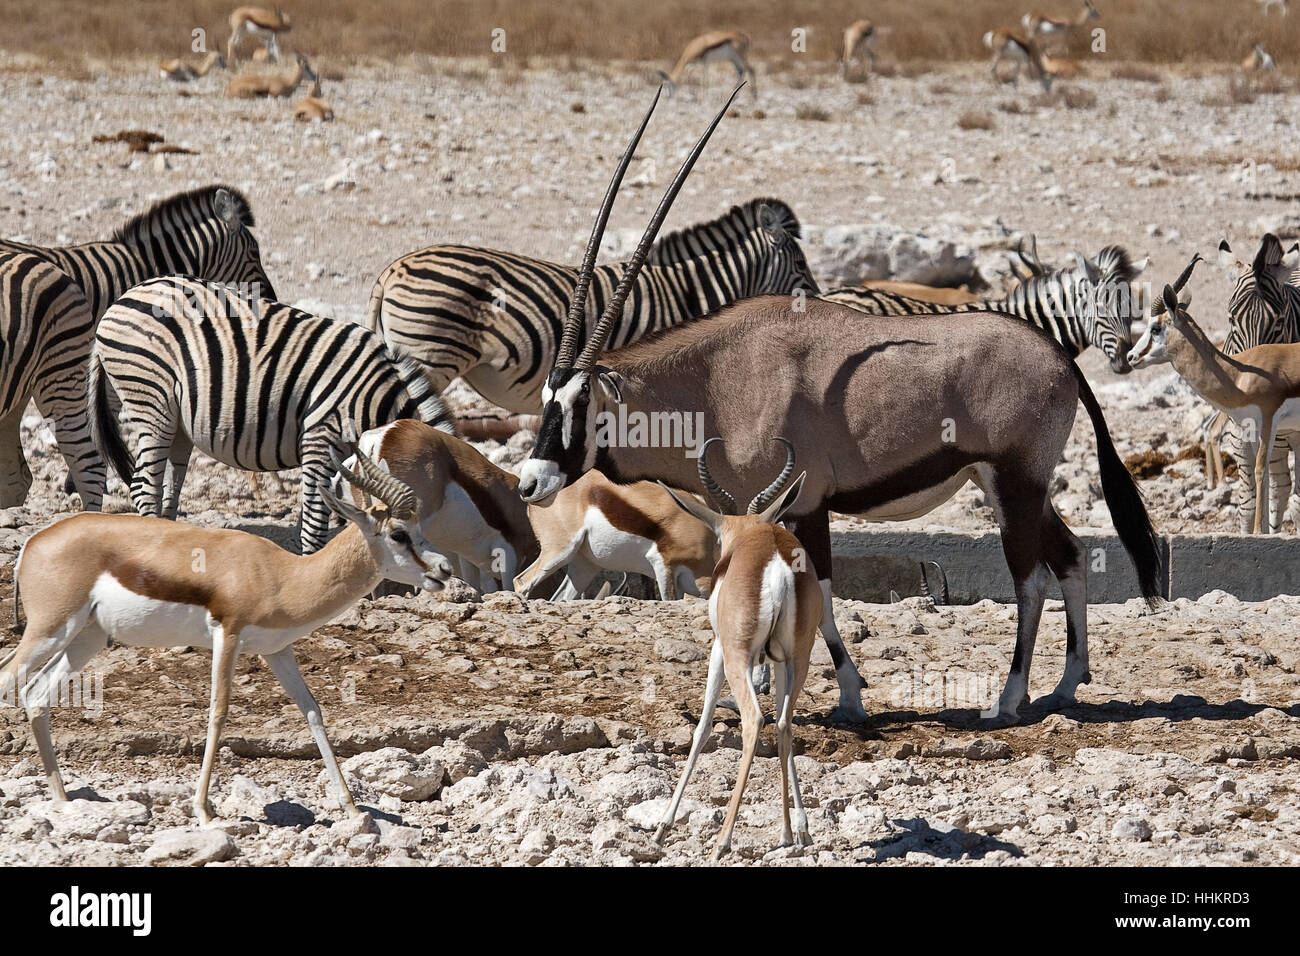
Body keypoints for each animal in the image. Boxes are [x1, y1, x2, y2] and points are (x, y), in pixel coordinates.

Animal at [0, 451, 453, 824]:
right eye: (398, 533)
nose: (444, 569)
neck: (282, 576)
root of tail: (34, 541)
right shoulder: (228, 635)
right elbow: (218, 712)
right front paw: (203, 810)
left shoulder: (278, 651)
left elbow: (313, 712)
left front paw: (354, 809)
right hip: (49, 630)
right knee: (10, 679)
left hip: (87, 638)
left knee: (37, 695)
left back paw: (63, 800)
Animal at [651, 442, 818, 858]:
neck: (751, 532)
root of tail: (777, 562)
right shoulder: (778, 661)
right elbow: (783, 723)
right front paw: (799, 831)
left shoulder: (718, 650)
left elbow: (702, 727)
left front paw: (662, 828)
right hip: (800, 657)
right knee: (785, 722)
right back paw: (787, 835)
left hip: (738, 658)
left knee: (755, 720)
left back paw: (722, 842)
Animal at [1130, 264, 1300, 535]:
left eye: (1155, 328)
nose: (1130, 356)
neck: (1238, 374)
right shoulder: (1250, 426)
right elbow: (1256, 474)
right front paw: (1259, 531)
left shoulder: (1268, 420)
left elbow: (1260, 469)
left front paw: (1257, 532)